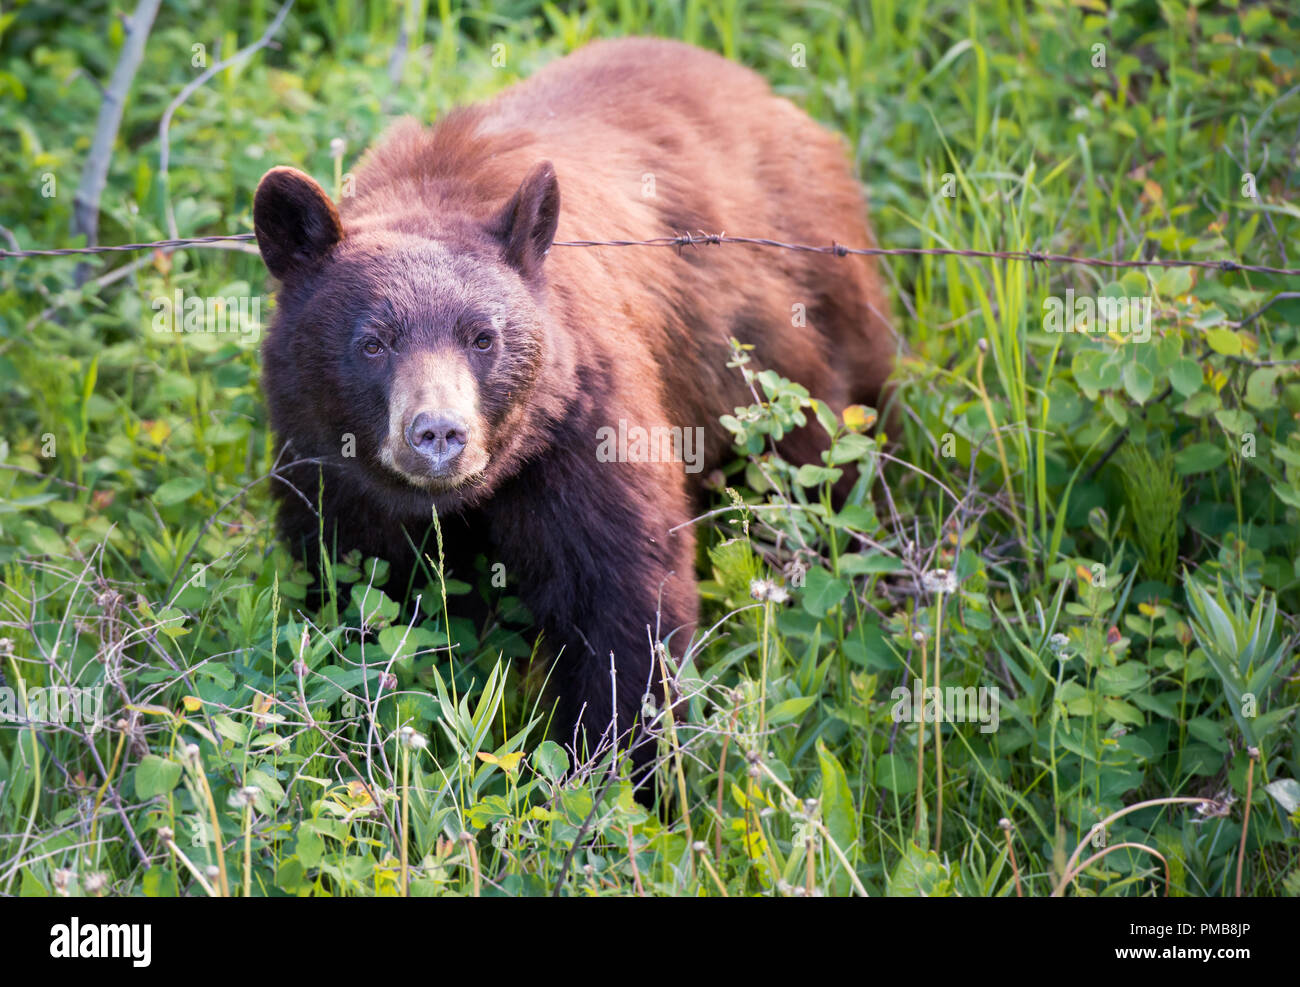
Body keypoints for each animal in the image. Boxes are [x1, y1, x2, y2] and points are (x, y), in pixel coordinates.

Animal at [252, 37, 894, 786]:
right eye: (372, 342)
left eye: (484, 337)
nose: (439, 433)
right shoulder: (324, 460)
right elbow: (348, 583)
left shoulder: (584, 424)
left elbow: (620, 596)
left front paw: (621, 777)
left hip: (796, 337)